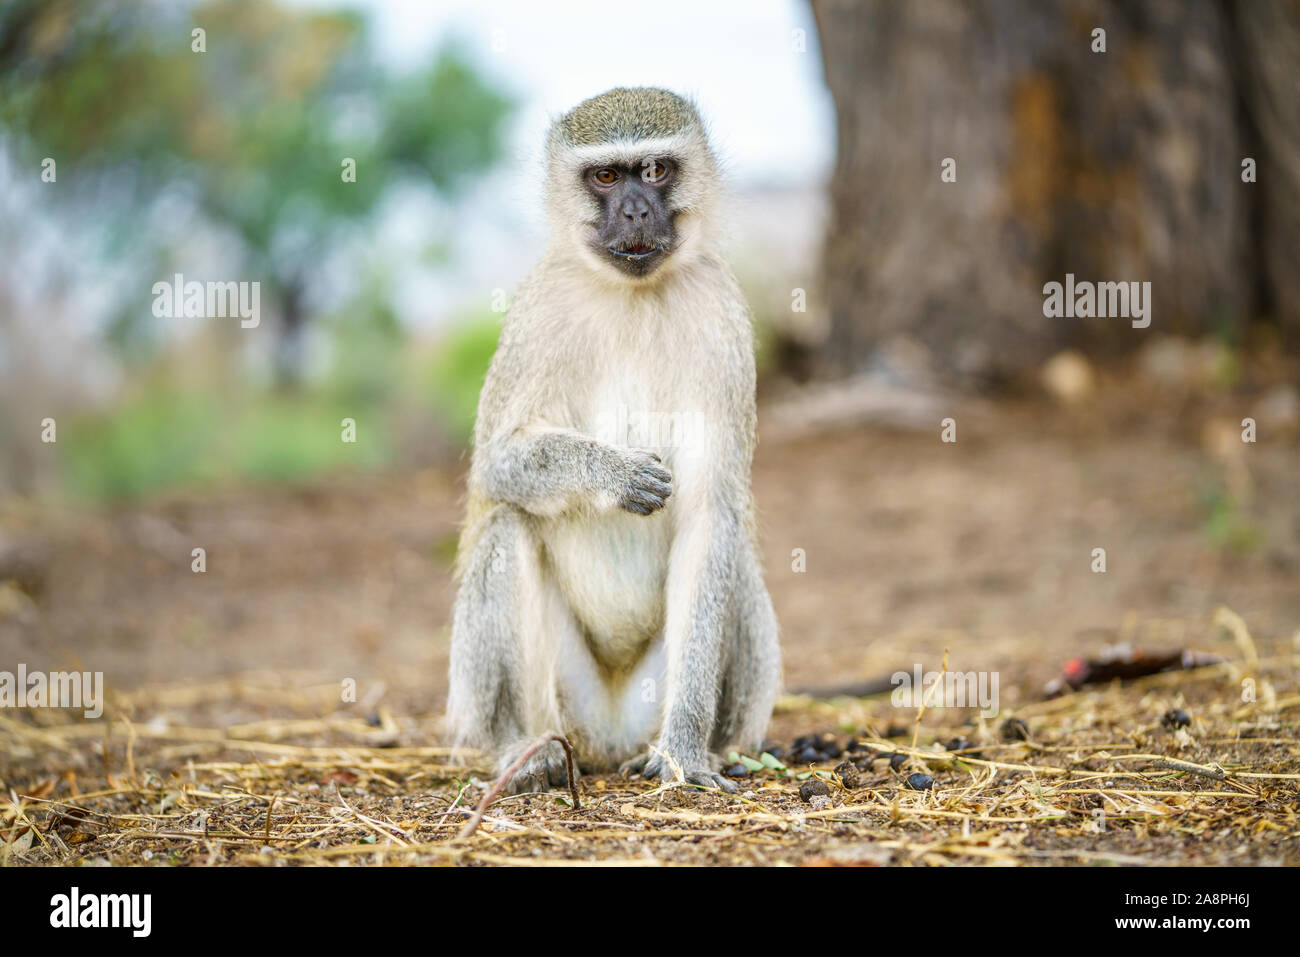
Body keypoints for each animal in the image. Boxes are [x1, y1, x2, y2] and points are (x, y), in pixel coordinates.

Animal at [445, 87, 780, 794]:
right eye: (604, 176)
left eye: (653, 170)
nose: (633, 209)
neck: (635, 295)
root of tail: (609, 736)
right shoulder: (537, 313)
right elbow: (497, 464)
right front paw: (613, 472)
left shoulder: (722, 318)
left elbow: (710, 515)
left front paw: (683, 752)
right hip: (570, 701)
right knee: (507, 527)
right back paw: (527, 751)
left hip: (644, 700)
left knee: (731, 550)